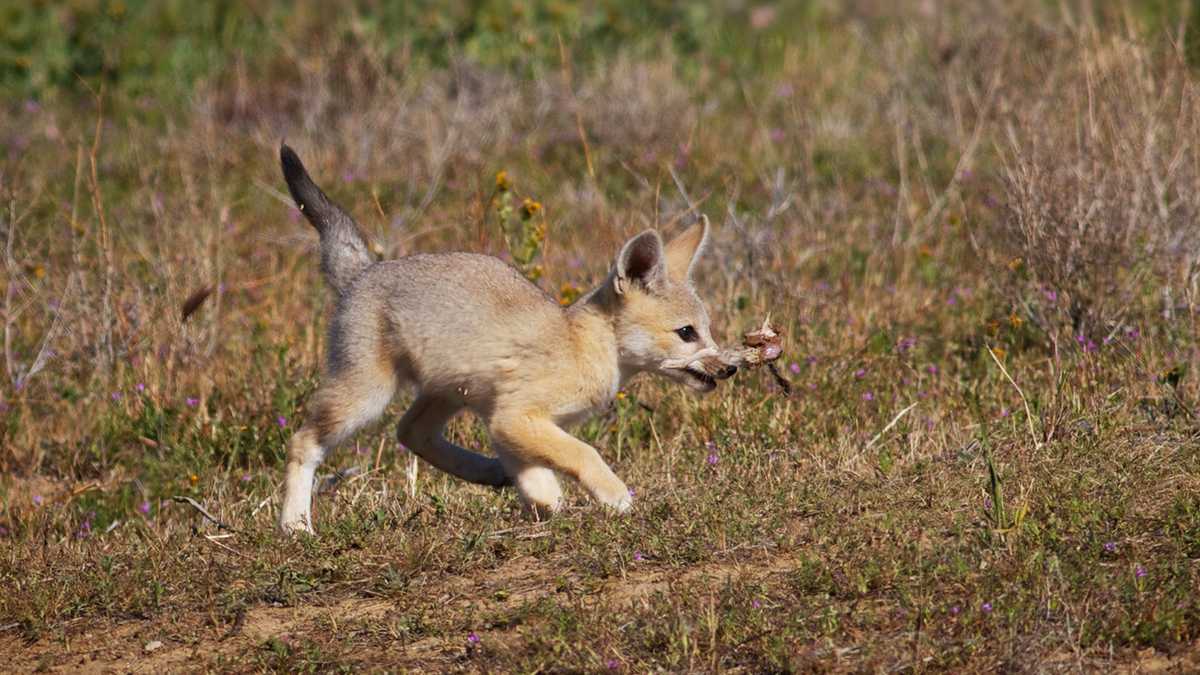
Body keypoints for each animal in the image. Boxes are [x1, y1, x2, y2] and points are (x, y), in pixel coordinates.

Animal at [277, 144, 738, 533]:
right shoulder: (515, 415)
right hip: (366, 396)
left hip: (450, 392)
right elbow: (583, 453)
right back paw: (295, 526)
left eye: (708, 329)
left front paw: (542, 499)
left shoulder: (507, 419)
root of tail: (364, 271)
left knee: (410, 433)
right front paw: (614, 496)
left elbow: (535, 473)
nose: (730, 367)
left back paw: (485, 471)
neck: (584, 343)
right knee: (303, 442)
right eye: (687, 333)